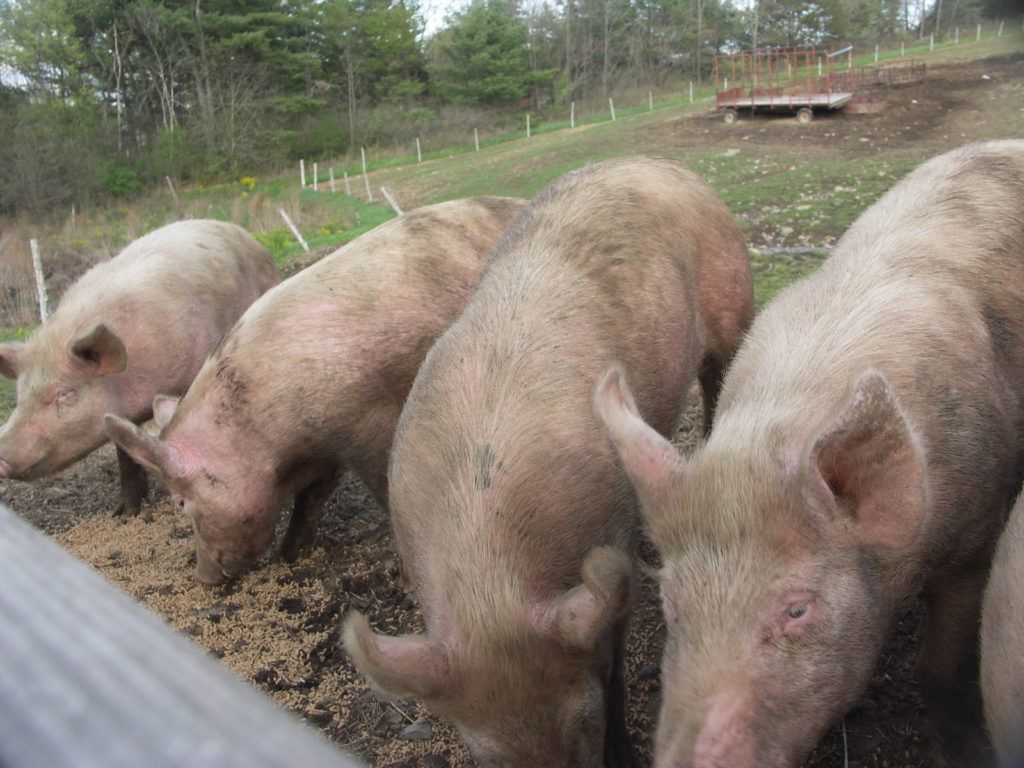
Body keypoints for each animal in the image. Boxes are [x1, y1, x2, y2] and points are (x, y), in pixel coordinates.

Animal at [0, 220, 279, 518]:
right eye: (20, 397)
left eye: (63, 394)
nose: (2, 455)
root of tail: (237, 230)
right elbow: (125, 452)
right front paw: (124, 515)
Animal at [103, 197, 527, 585]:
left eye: (181, 502)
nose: (201, 577)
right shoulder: (319, 449)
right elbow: (310, 500)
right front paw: (289, 557)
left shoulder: (366, 418)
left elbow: (383, 484)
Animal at [343, 156, 754, 768]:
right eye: (489, 756)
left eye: (583, 724)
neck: (489, 585)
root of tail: (660, 164)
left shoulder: (610, 549)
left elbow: (614, 670)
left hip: (733, 298)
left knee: (718, 380)